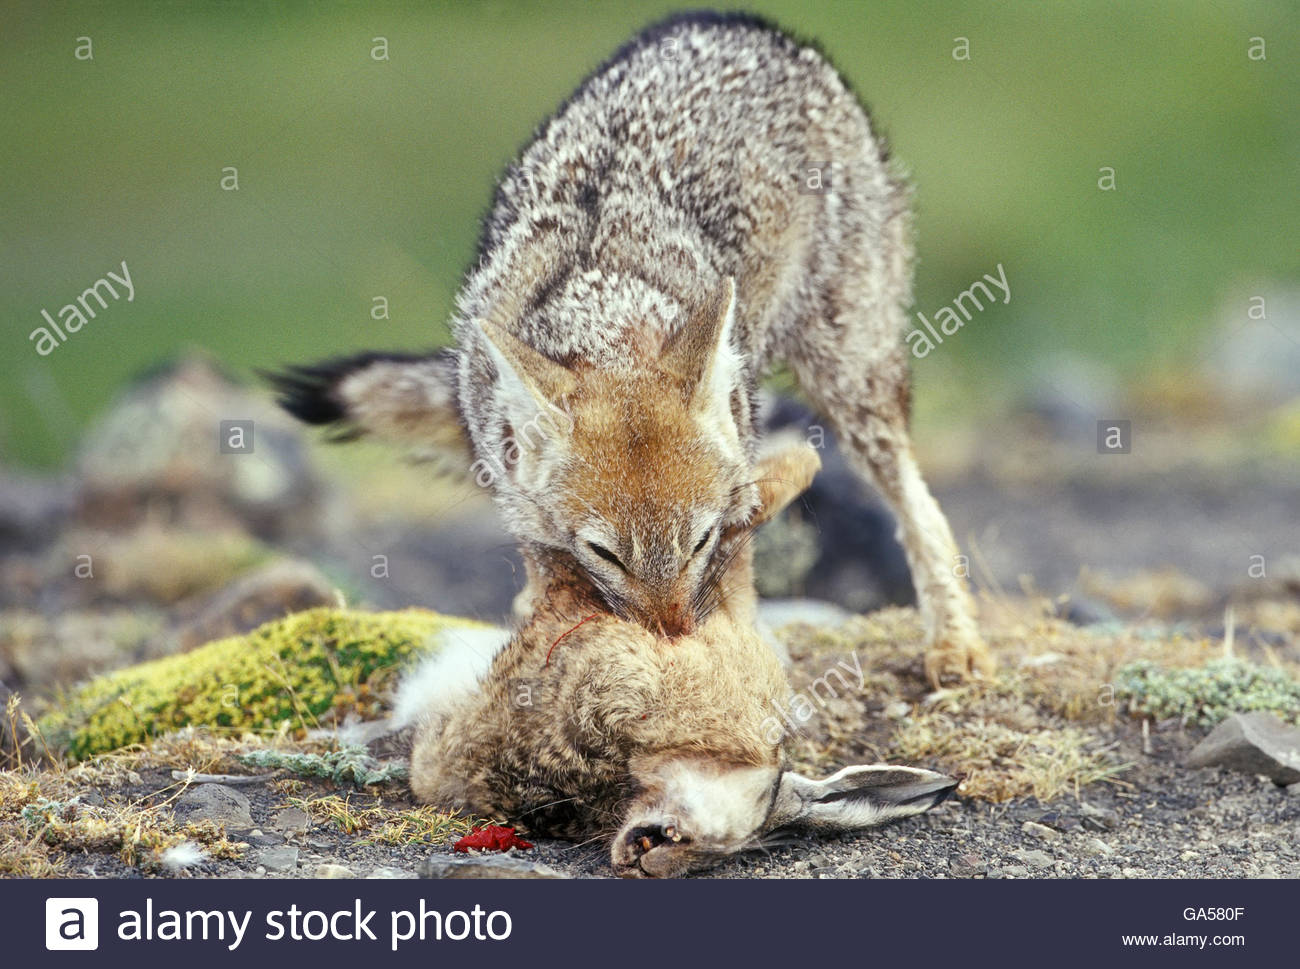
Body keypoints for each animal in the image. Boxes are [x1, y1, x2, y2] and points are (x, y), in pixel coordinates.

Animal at [269, 11, 991, 684]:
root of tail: (737, 23)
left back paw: (952, 639)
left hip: (851, 384)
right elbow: (547, 574)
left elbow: (743, 577)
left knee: (919, 509)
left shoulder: (737, 511)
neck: (605, 314)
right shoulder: (528, 515)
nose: (672, 638)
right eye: (608, 553)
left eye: (699, 541)